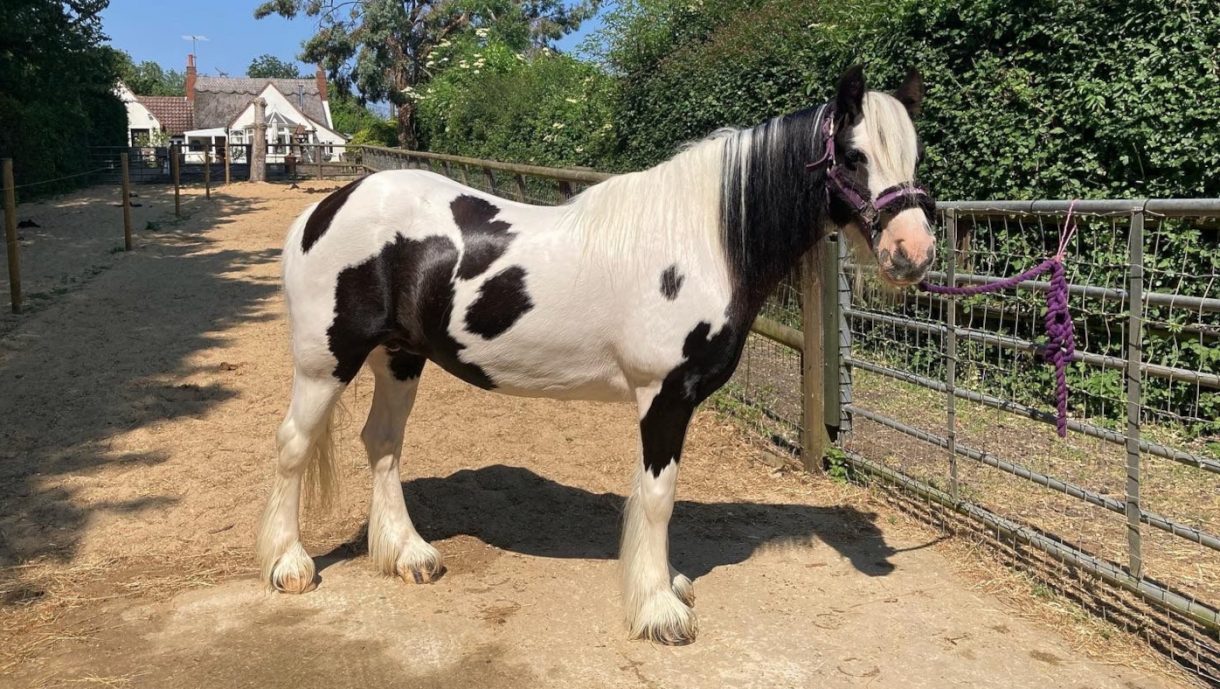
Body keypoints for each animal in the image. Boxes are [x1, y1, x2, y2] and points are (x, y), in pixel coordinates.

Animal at [256, 64, 936, 646]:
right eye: (854, 155)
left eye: (914, 156)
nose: (913, 252)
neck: (700, 240)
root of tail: (323, 209)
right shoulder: (665, 396)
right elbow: (657, 498)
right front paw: (659, 610)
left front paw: (668, 590)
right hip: (326, 363)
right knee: (292, 445)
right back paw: (289, 564)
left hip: (399, 358)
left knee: (383, 443)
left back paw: (408, 554)